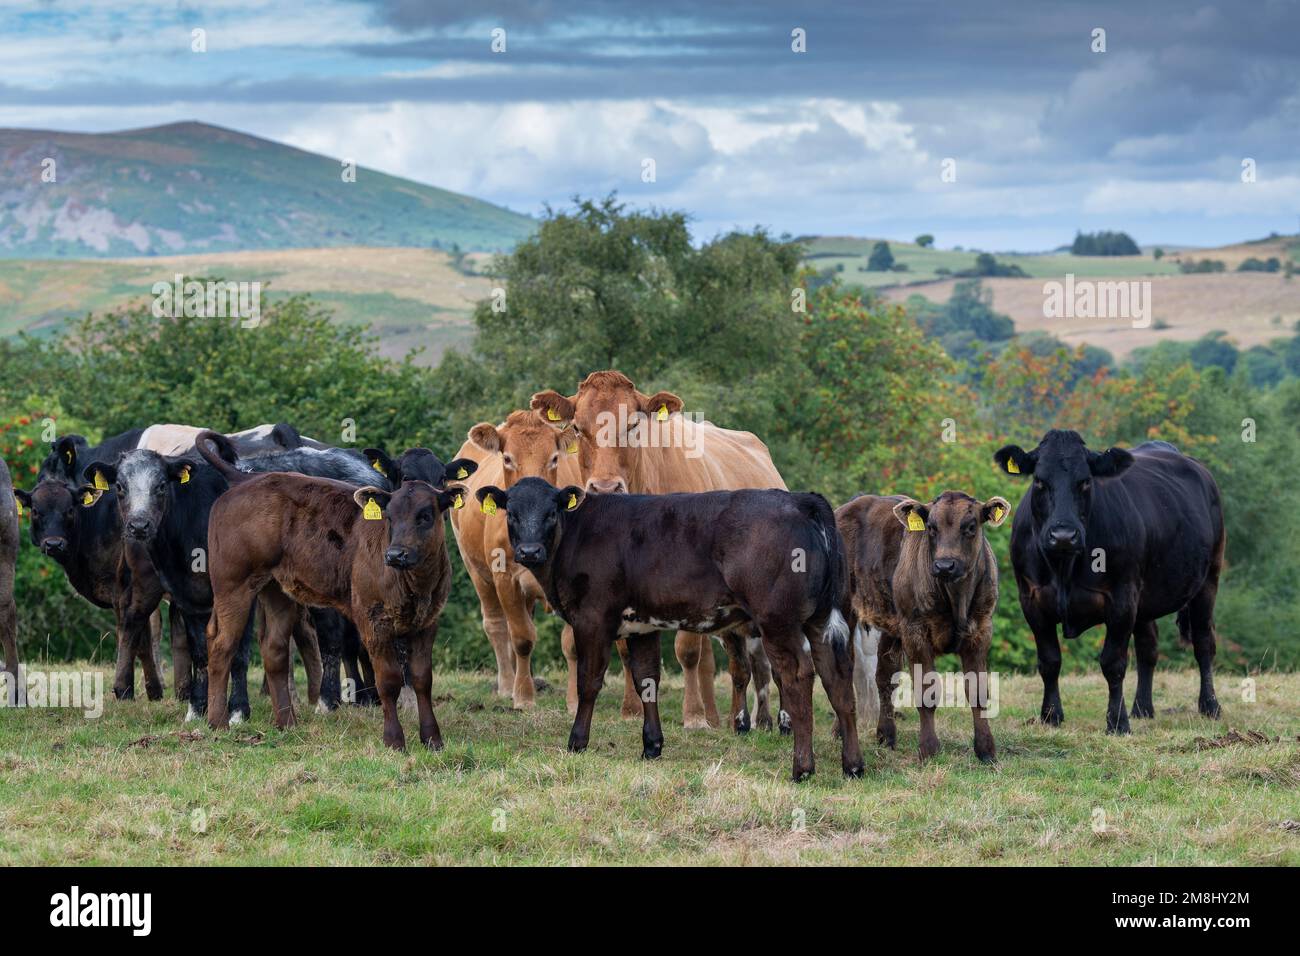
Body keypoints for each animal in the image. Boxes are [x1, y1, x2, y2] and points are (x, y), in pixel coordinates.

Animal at [201, 452, 465, 749]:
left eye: (425, 516)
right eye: (389, 517)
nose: (396, 554)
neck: (415, 585)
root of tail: (247, 478)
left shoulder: (428, 621)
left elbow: (422, 679)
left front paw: (432, 738)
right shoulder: (373, 620)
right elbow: (388, 680)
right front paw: (394, 740)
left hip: (276, 588)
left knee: (274, 648)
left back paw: (286, 722)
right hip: (233, 584)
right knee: (222, 645)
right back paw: (218, 721)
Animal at [474, 477, 863, 782]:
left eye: (551, 513)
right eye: (511, 513)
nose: (529, 551)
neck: (575, 535)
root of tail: (801, 500)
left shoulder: (592, 618)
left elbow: (589, 681)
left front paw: (577, 742)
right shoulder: (642, 626)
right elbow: (646, 680)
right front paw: (652, 746)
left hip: (778, 620)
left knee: (799, 678)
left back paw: (802, 768)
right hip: (828, 617)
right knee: (839, 679)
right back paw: (853, 766)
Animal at [530, 370, 780, 734]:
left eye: (633, 425)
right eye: (577, 427)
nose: (605, 488)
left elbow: (688, 651)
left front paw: (694, 716)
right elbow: (625, 651)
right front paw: (632, 710)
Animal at [837, 491, 1010, 762]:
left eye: (971, 527)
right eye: (931, 527)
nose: (944, 565)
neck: (956, 599)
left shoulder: (981, 630)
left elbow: (978, 691)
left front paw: (986, 749)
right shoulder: (915, 632)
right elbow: (926, 691)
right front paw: (929, 748)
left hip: (891, 626)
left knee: (884, 677)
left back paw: (886, 735)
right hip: (845, 610)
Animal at [994, 431, 1225, 732]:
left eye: (1085, 481)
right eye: (1039, 481)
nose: (1063, 535)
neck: (1064, 567)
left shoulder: (1121, 598)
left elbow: (1113, 663)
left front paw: (1117, 722)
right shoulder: (1032, 599)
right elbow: (1049, 661)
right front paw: (1050, 716)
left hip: (1208, 579)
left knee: (1203, 642)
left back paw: (1210, 706)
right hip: (1146, 598)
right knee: (1148, 648)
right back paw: (1142, 708)